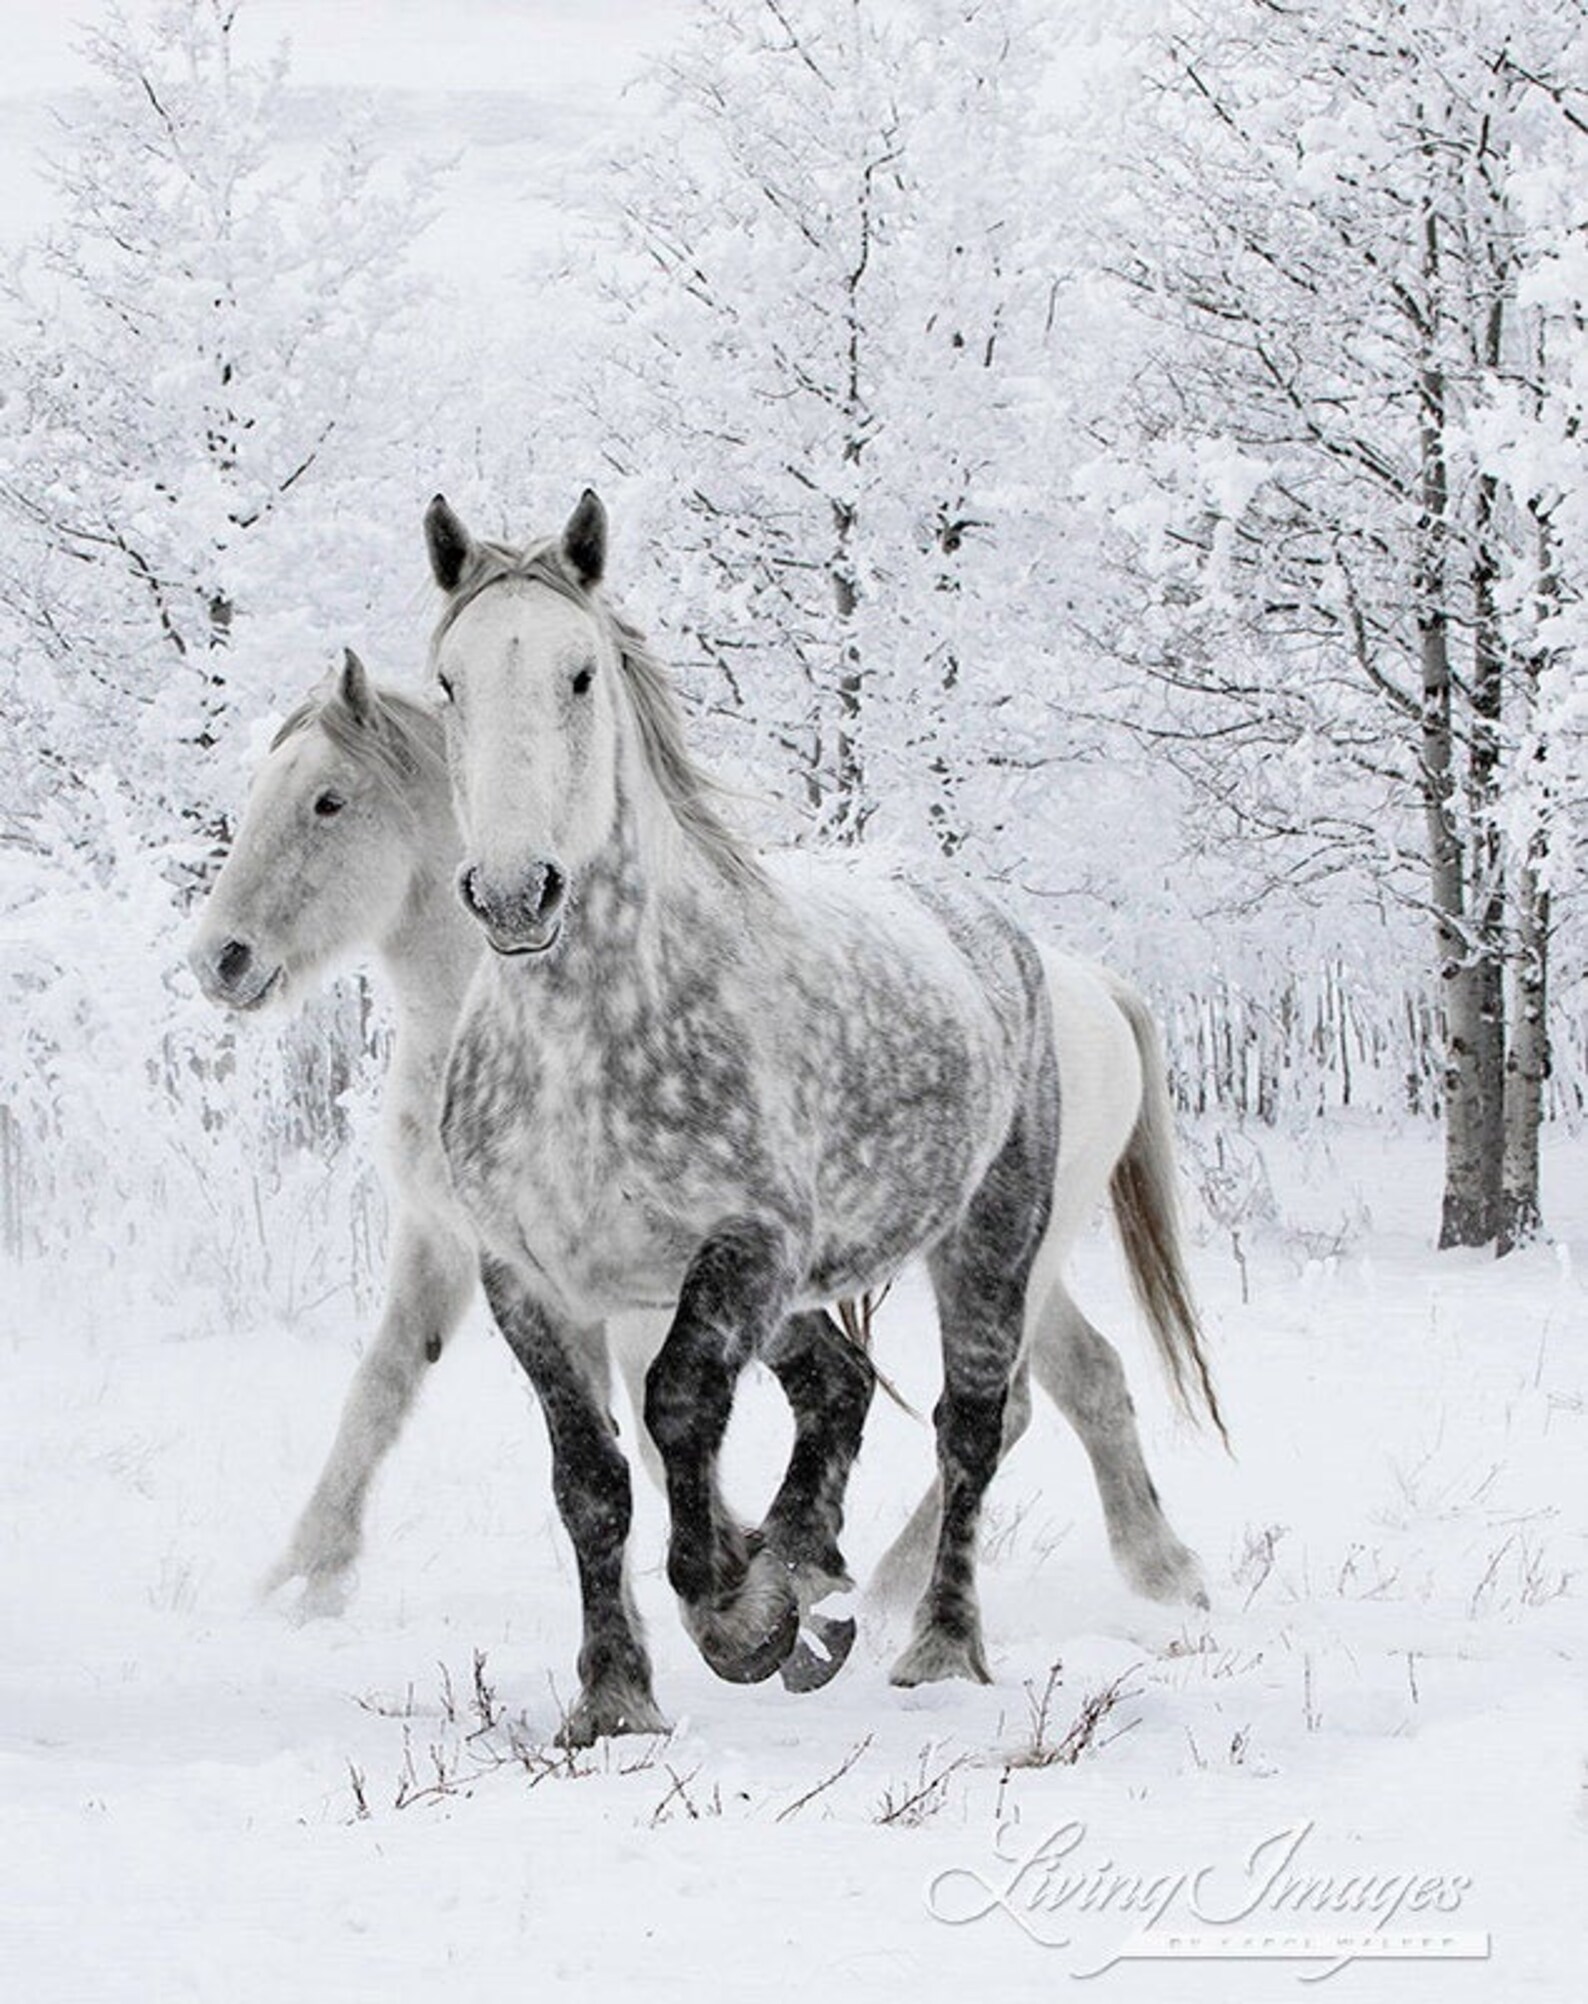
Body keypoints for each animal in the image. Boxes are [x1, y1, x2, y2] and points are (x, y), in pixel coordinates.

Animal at [422, 489, 1223, 1738]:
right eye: (450, 681)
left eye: (579, 674)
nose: (514, 893)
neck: (582, 1050)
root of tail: (1016, 938)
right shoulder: (530, 1283)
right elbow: (590, 1481)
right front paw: (616, 1700)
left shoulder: (747, 1248)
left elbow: (680, 1411)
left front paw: (740, 1616)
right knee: (845, 1386)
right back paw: (823, 1573)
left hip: (989, 1243)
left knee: (974, 1420)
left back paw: (935, 1641)